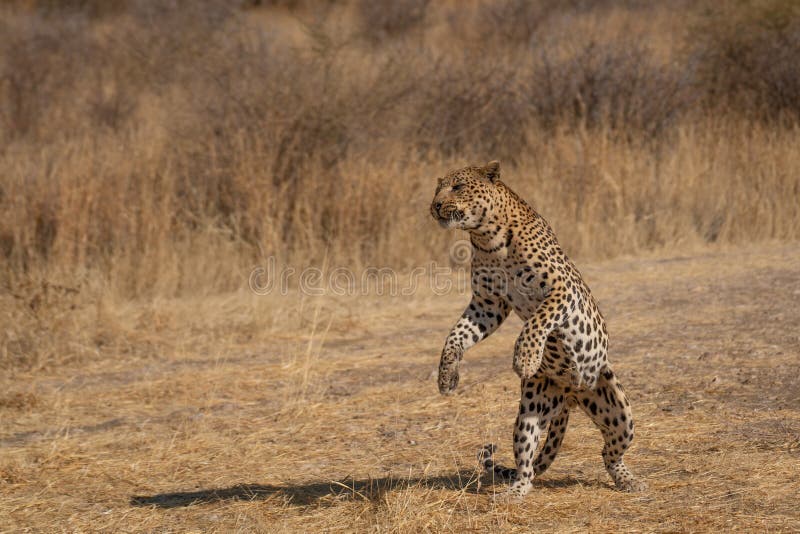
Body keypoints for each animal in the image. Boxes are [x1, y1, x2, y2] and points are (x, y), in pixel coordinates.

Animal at [430, 160, 646, 499]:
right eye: (438, 188)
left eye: (458, 187)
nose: (435, 205)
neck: (487, 238)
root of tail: (570, 397)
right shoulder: (487, 304)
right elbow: (457, 335)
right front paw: (447, 376)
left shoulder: (561, 290)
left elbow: (537, 321)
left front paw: (526, 359)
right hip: (529, 414)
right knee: (527, 463)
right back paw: (515, 492)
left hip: (619, 410)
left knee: (611, 453)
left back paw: (628, 481)